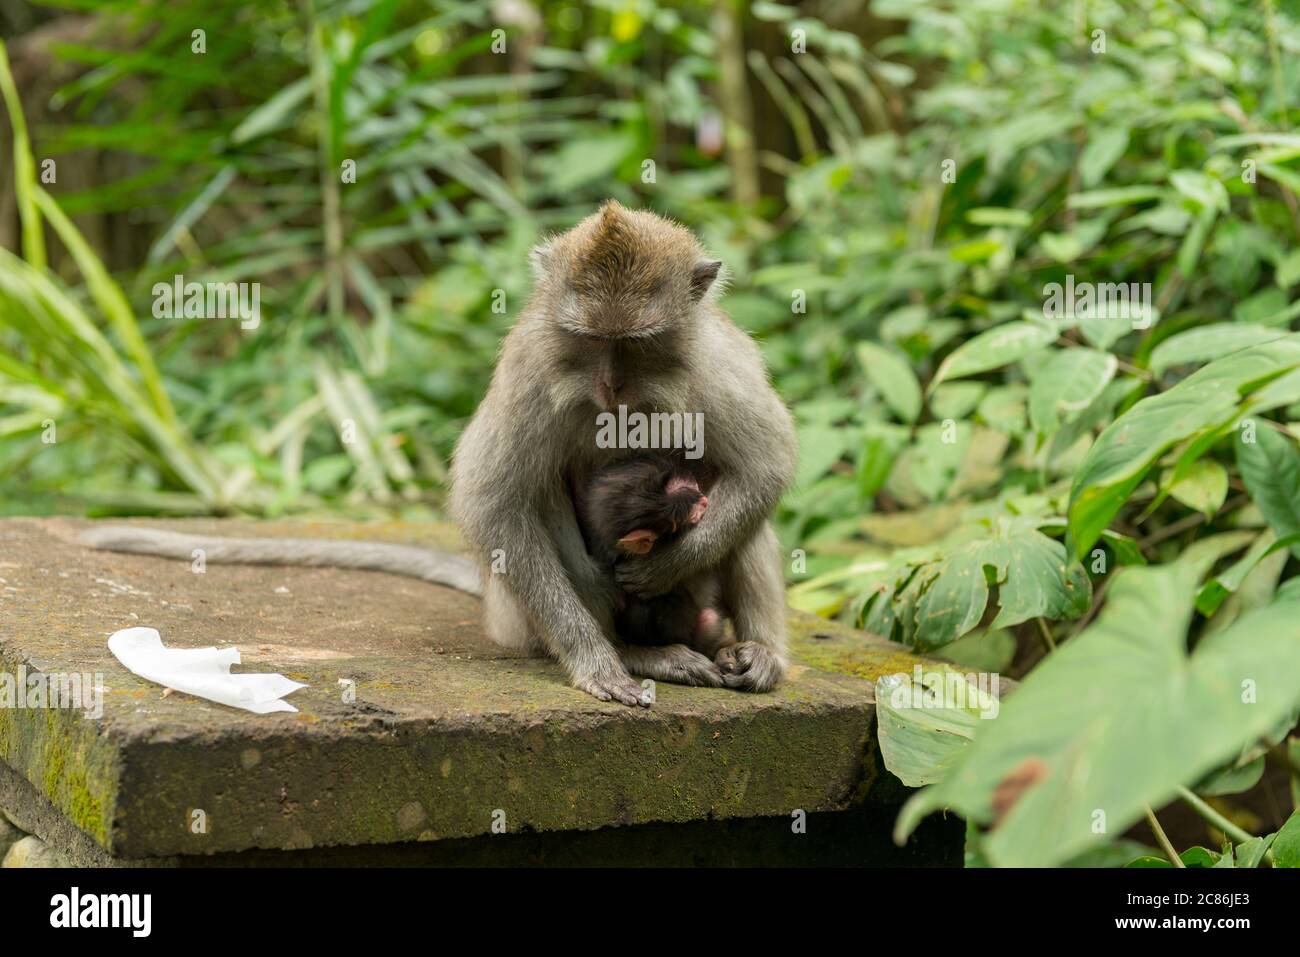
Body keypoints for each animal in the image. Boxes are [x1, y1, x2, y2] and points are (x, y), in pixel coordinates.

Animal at [81, 200, 797, 707]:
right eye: (589, 339)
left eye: (637, 343)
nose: (609, 387)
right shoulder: (531, 366)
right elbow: (494, 503)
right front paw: (596, 659)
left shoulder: (720, 365)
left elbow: (766, 465)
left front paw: (668, 564)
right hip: (516, 613)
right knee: (538, 499)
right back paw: (637, 652)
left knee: (746, 515)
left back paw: (759, 655)